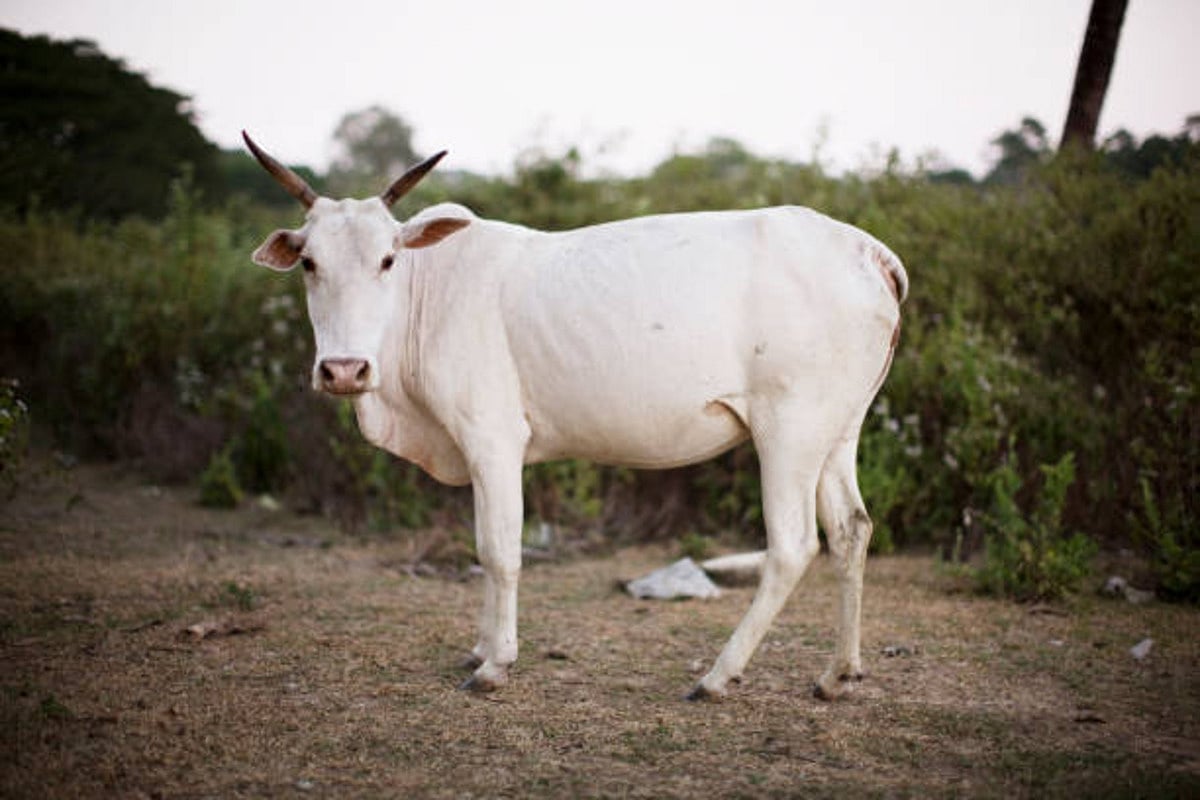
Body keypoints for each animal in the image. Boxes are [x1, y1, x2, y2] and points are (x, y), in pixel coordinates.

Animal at [243, 132, 907, 701]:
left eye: (387, 260)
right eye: (309, 263)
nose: (344, 369)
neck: (426, 289)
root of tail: (868, 250)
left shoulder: (493, 439)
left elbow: (498, 549)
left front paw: (495, 664)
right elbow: (483, 546)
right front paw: (479, 648)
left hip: (788, 431)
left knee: (793, 546)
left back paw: (718, 676)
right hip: (837, 432)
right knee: (851, 529)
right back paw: (837, 675)